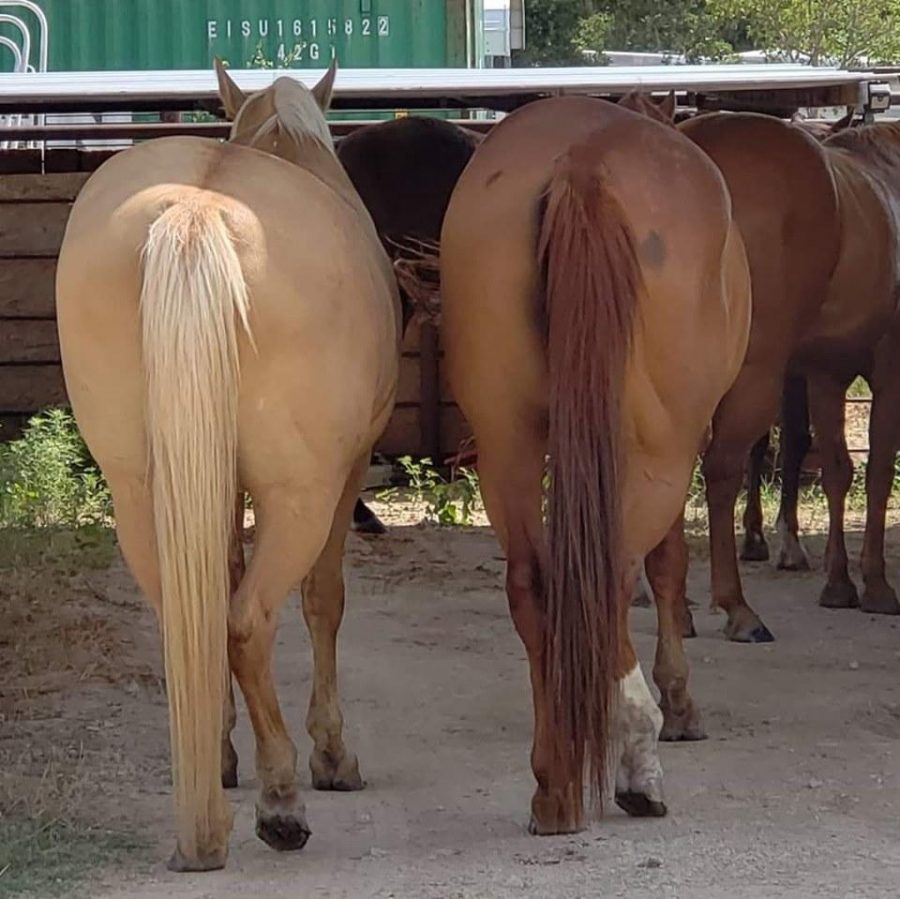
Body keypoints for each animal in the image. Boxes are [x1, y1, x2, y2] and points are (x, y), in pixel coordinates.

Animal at [56, 61, 402, 871]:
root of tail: (197, 211)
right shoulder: (341, 481)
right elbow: (324, 601)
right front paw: (331, 755)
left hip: (140, 491)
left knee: (190, 611)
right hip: (299, 497)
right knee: (248, 620)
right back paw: (281, 803)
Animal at [438, 94, 751, 834]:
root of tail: (586, 164)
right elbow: (667, 566)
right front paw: (679, 704)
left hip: (508, 441)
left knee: (536, 583)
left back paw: (554, 787)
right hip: (661, 453)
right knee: (609, 576)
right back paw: (638, 758)